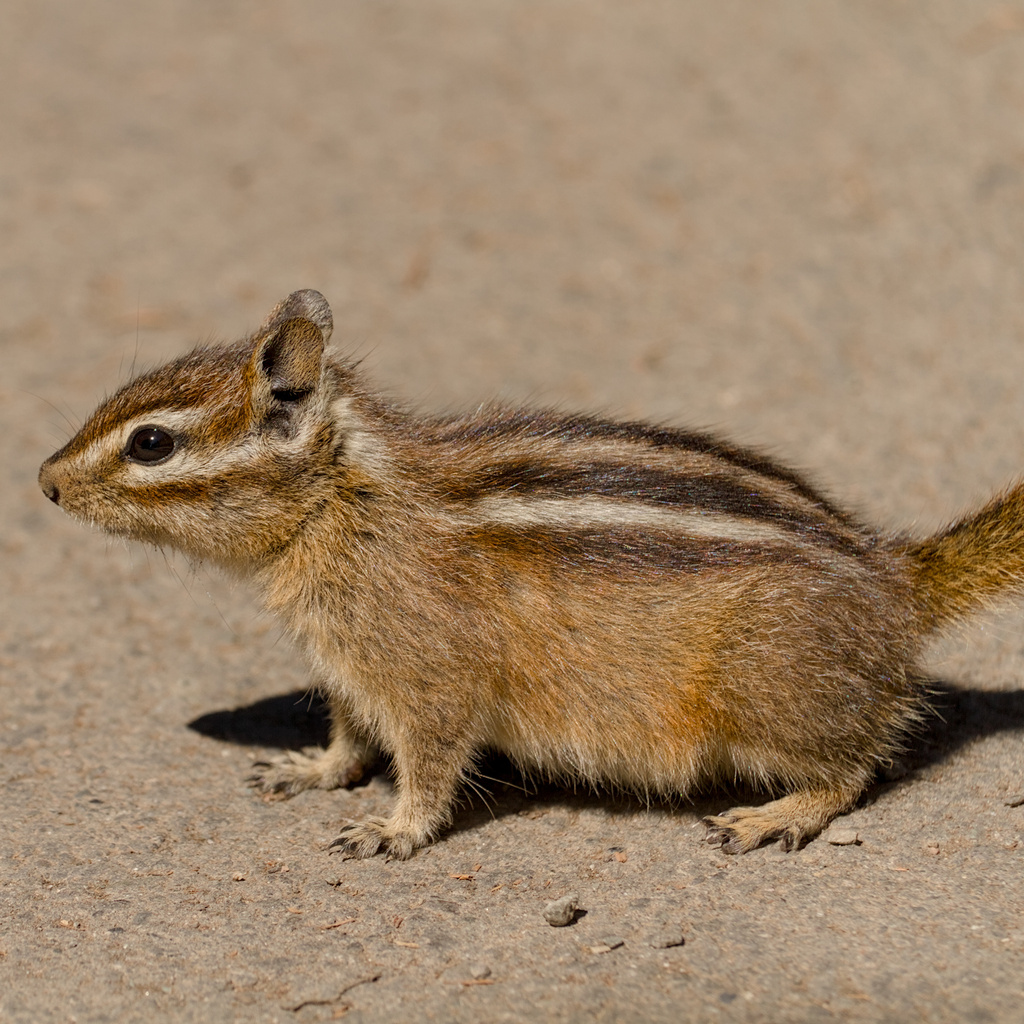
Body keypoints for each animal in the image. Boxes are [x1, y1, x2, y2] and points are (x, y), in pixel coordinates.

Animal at [37, 289, 1024, 859]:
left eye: (152, 443)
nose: (44, 482)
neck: (348, 502)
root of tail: (897, 580)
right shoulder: (353, 666)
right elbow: (353, 735)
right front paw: (314, 771)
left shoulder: (427, 673)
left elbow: (430, 759)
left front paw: (394, 829)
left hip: (762, 689)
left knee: (855, 765)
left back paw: (777, 814)